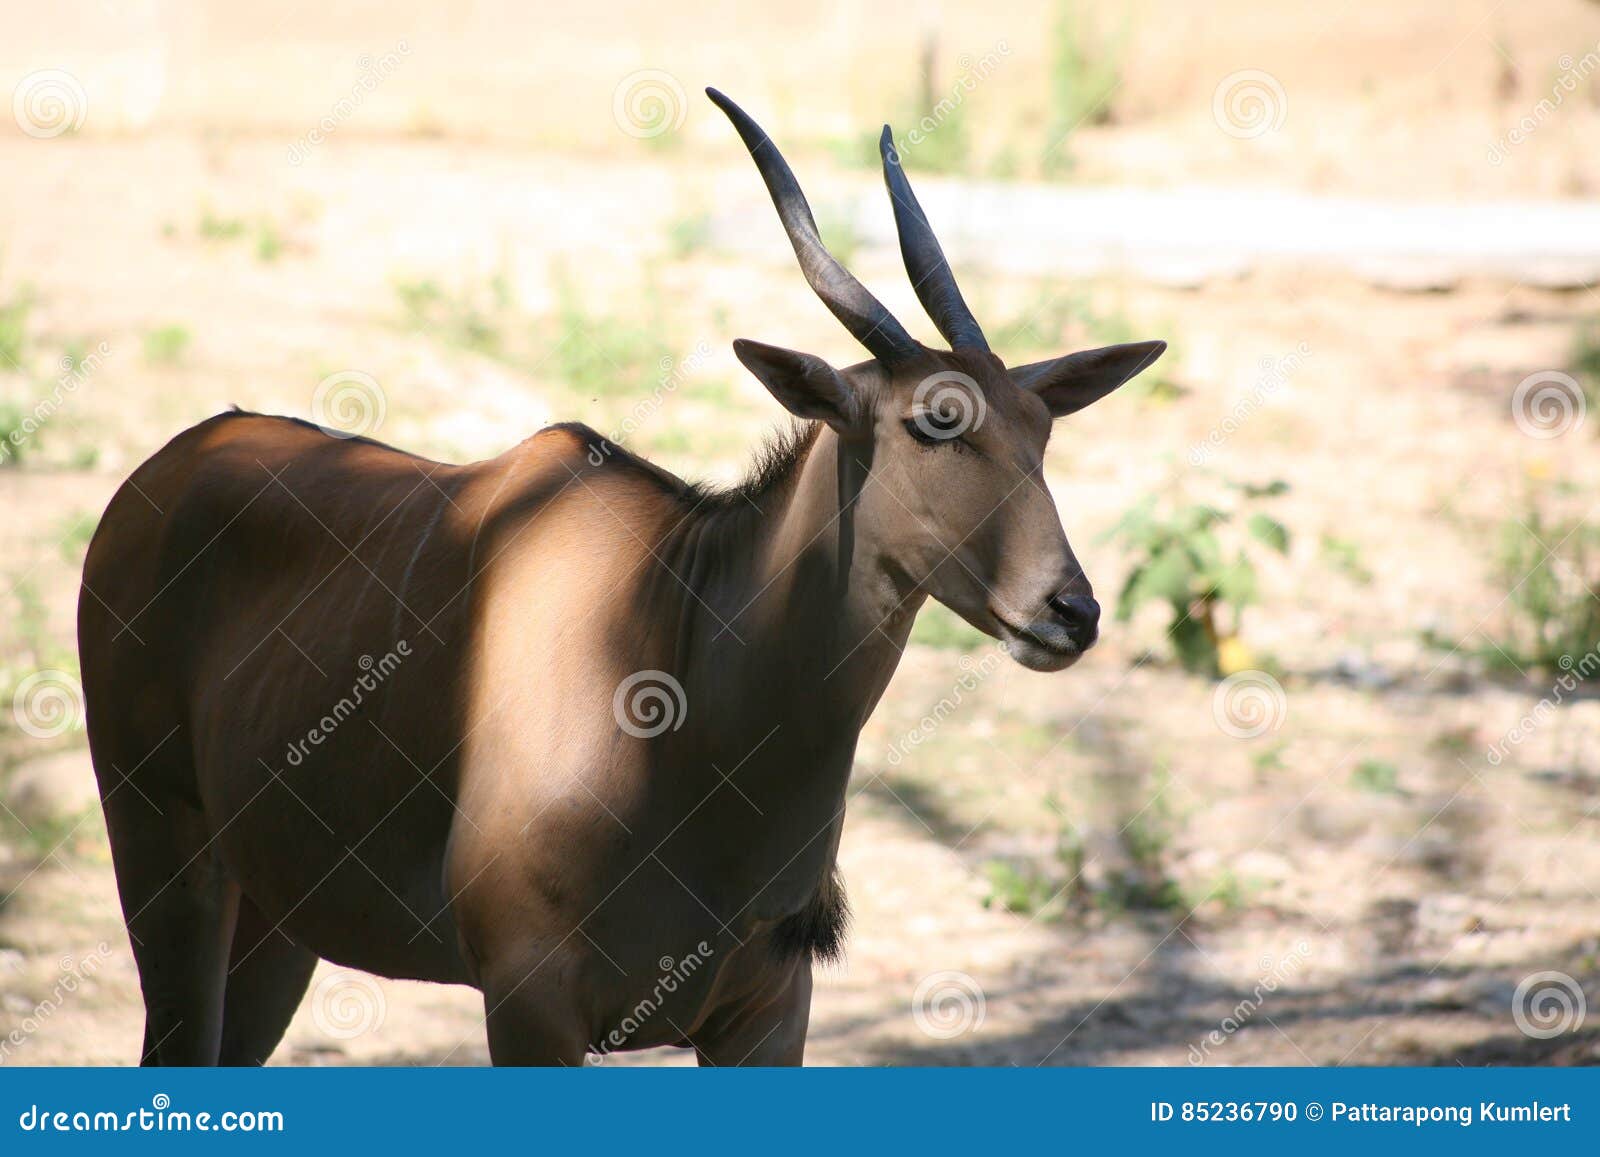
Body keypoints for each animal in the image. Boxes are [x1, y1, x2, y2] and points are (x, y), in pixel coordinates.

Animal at [77, 88, 1164, 1066]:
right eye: (934, 418)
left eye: (1041, 429)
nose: (1068, 609)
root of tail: (166, 466)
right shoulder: (529, 1003)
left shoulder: (765, 1013)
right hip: (167, 861)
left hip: (276, 919)